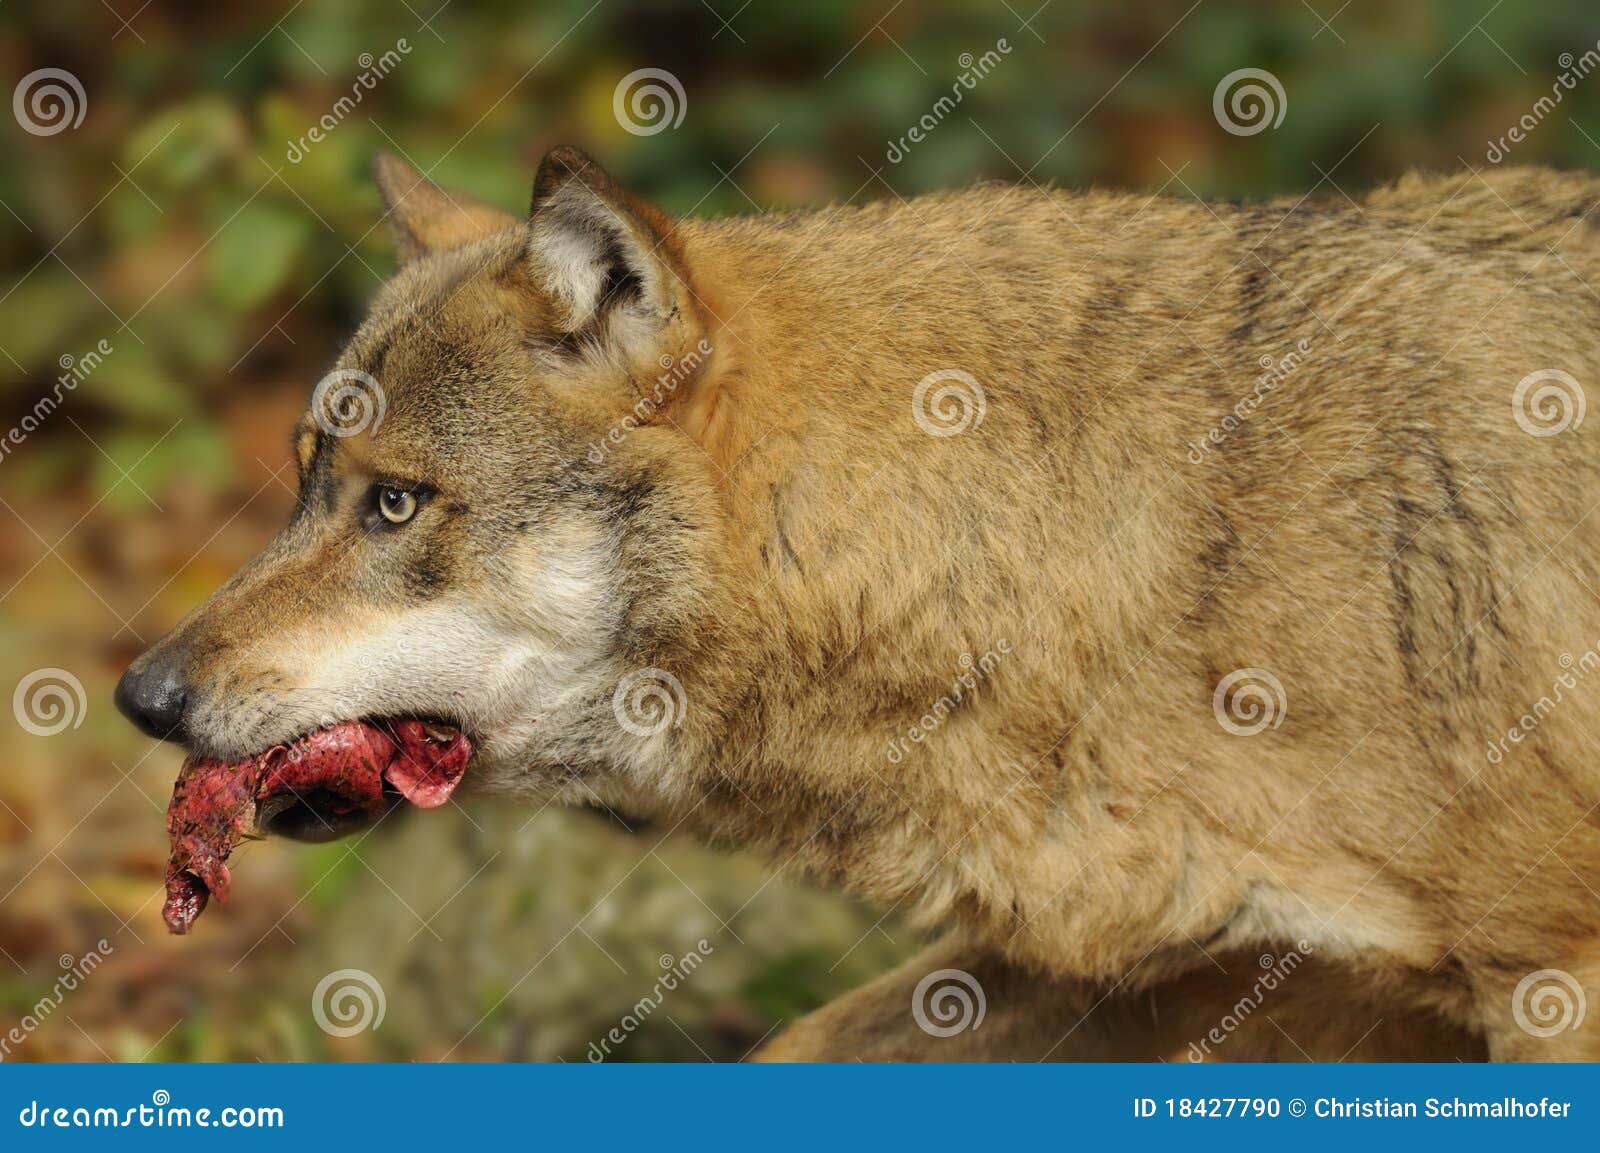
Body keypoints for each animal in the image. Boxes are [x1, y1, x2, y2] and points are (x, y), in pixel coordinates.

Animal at [117, 148, 1600, 1060]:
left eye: (395, 505)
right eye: (306, 483)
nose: (141, 696)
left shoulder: (1543, 974)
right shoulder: (1186, 967)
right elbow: (797, 1044)